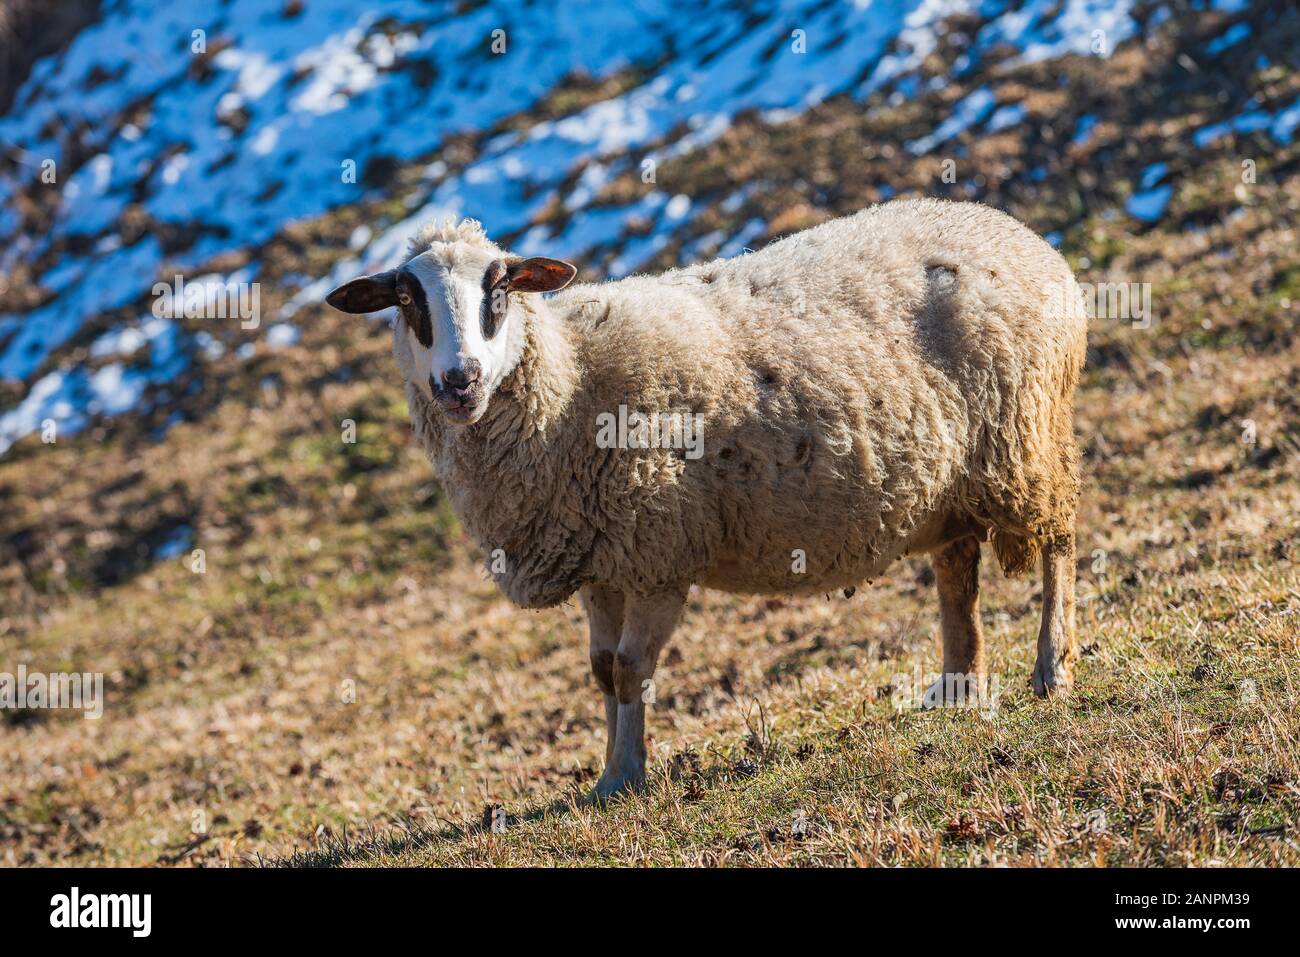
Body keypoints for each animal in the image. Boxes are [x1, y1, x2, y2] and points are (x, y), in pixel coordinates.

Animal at [325, 198, 1088, 801]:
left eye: (500, 288)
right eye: (407, 300)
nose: (460, 380)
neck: (571, 384)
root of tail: (1026, 239)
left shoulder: (657, 554)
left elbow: (631, 669)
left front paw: (627, 777)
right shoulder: (601, 562)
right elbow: (601, 671)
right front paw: (606, 773)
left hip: (1027, 435)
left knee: (1059, 540)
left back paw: (1052, 667)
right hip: (952, 479)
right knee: (958, 573)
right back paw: (959, 685)